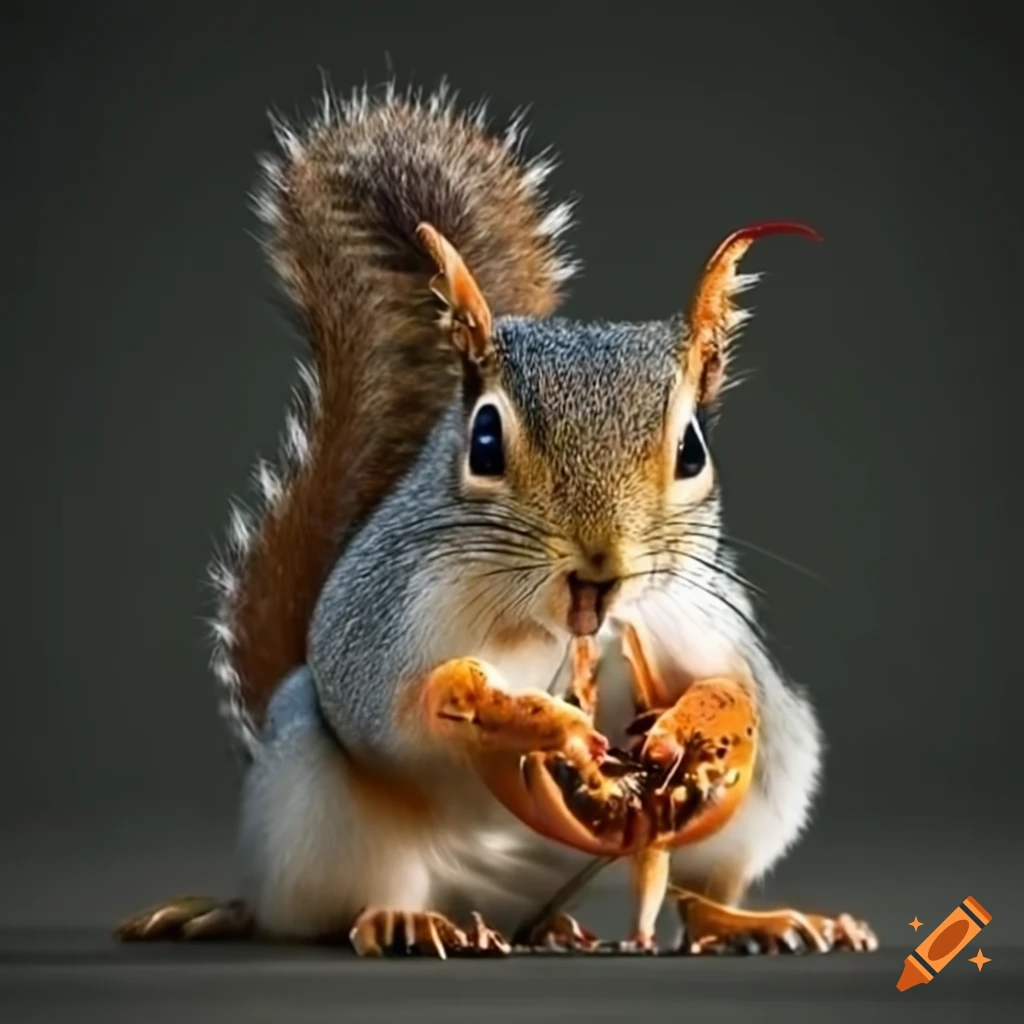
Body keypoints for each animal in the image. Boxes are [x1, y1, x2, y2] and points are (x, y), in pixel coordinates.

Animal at [115, 81, 877, 957]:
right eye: (483, 438)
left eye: (692, 448)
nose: (599, 569)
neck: (553, 629)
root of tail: (501, 912)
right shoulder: (383, 615)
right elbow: (409, 700)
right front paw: (535, 722)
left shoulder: (704, 622)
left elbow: (733, 690)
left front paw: (690, 723)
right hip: (314, 808)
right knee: (328, 910)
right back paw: (391, 919)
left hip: (765, 794)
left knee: (694, 889)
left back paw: (751, 920)